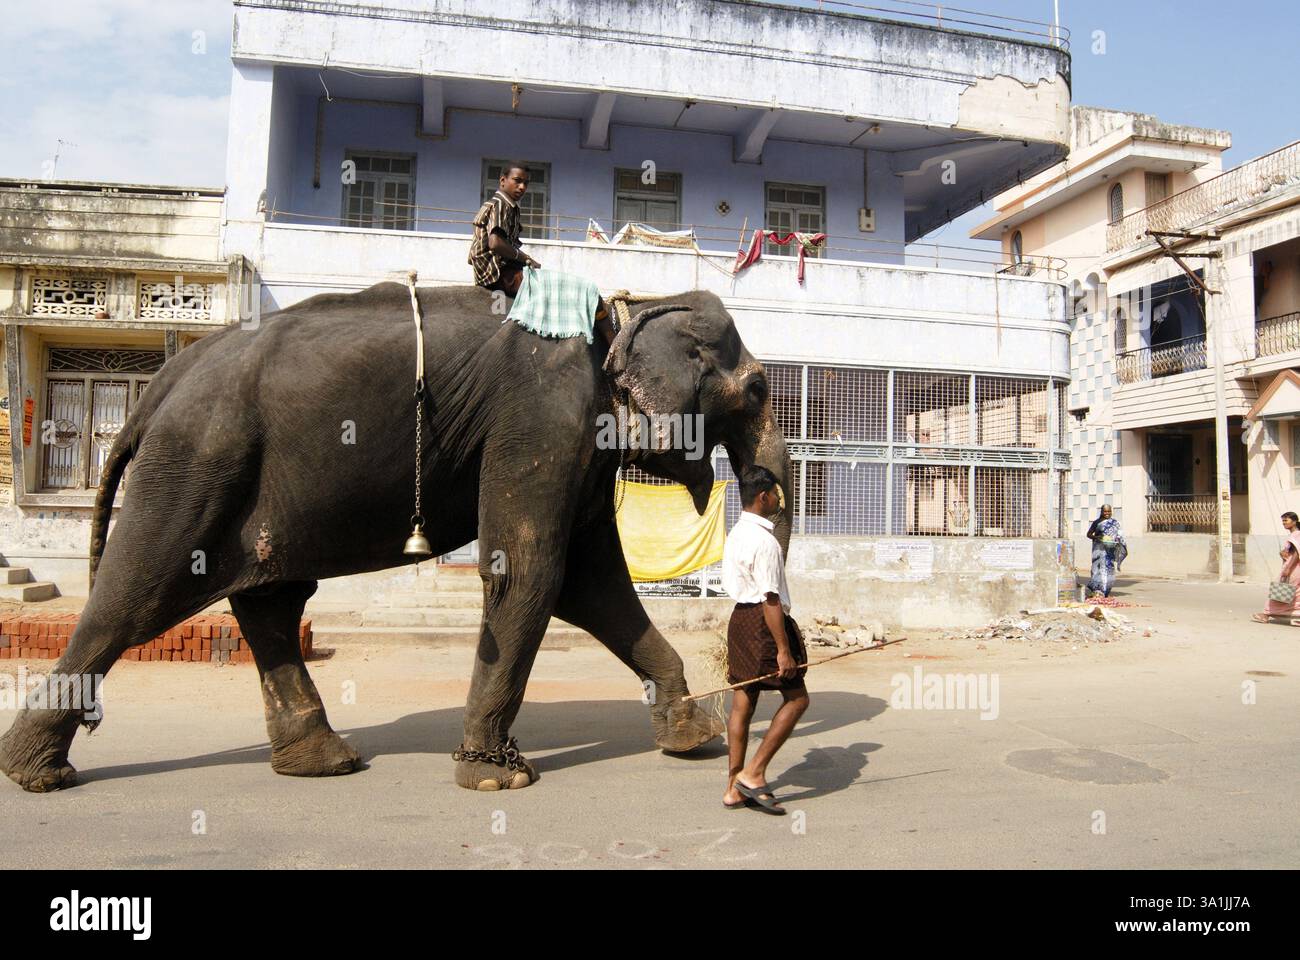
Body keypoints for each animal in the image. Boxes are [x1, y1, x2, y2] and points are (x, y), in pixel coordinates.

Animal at [0, 282, 792, 793]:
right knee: (134, 598)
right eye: (756, 389)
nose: (762, 485)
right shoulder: (544, 416)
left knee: (270, 603)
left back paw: (323, 763)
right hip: (195, 466)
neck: (621, 310)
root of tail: (165, 379)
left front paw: (690, 737)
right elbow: (530, 571)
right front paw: (496, 781)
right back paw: (37, 774)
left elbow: (589, 585)